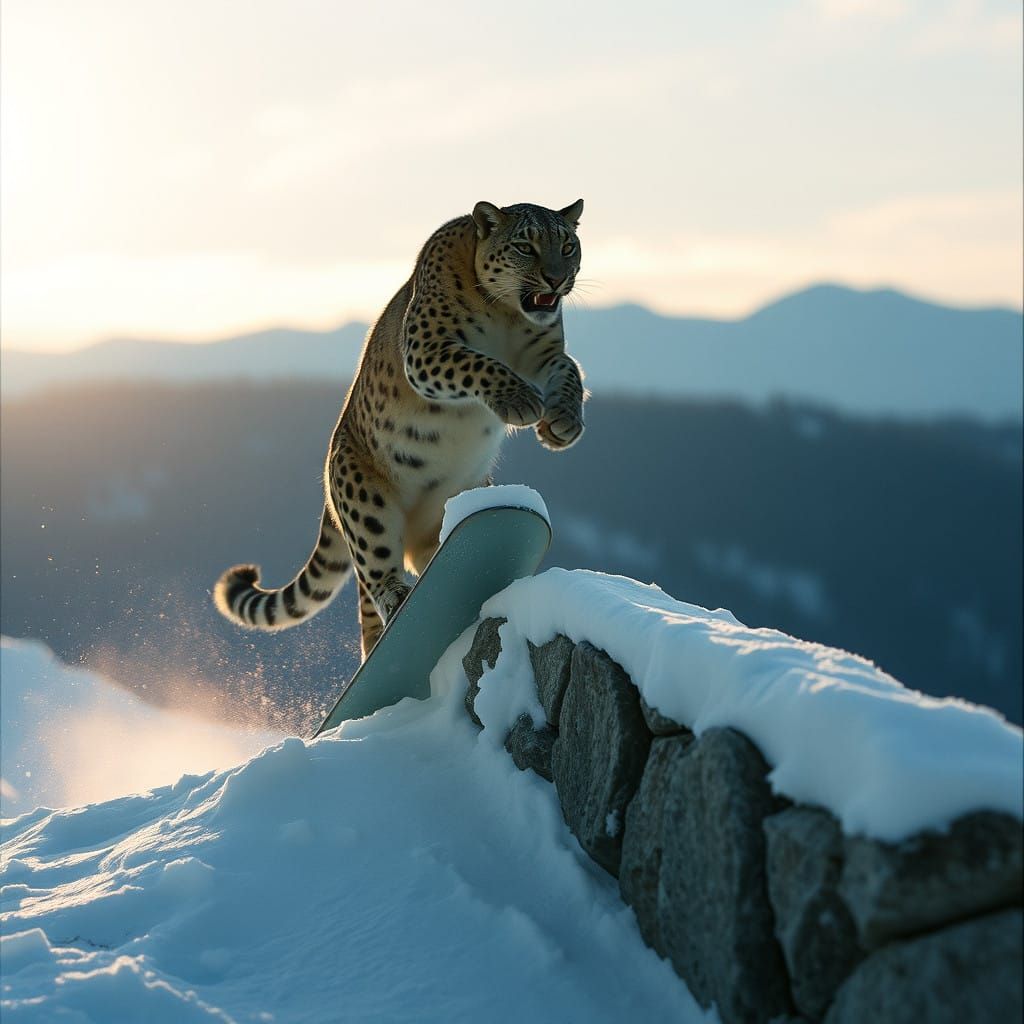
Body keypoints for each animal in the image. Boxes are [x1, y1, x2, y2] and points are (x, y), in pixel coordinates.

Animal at [213, 199, 587, 659]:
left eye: (567, 246)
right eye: (524, 246)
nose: (556, 278)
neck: (509, 315)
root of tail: (327, 488)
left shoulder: (545, 355)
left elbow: (569, 371)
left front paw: (563, 422)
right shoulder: (428, 351)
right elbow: (479, 363)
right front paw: (520, 401)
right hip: (366, 506)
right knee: (376, 583)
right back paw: (396, 604)